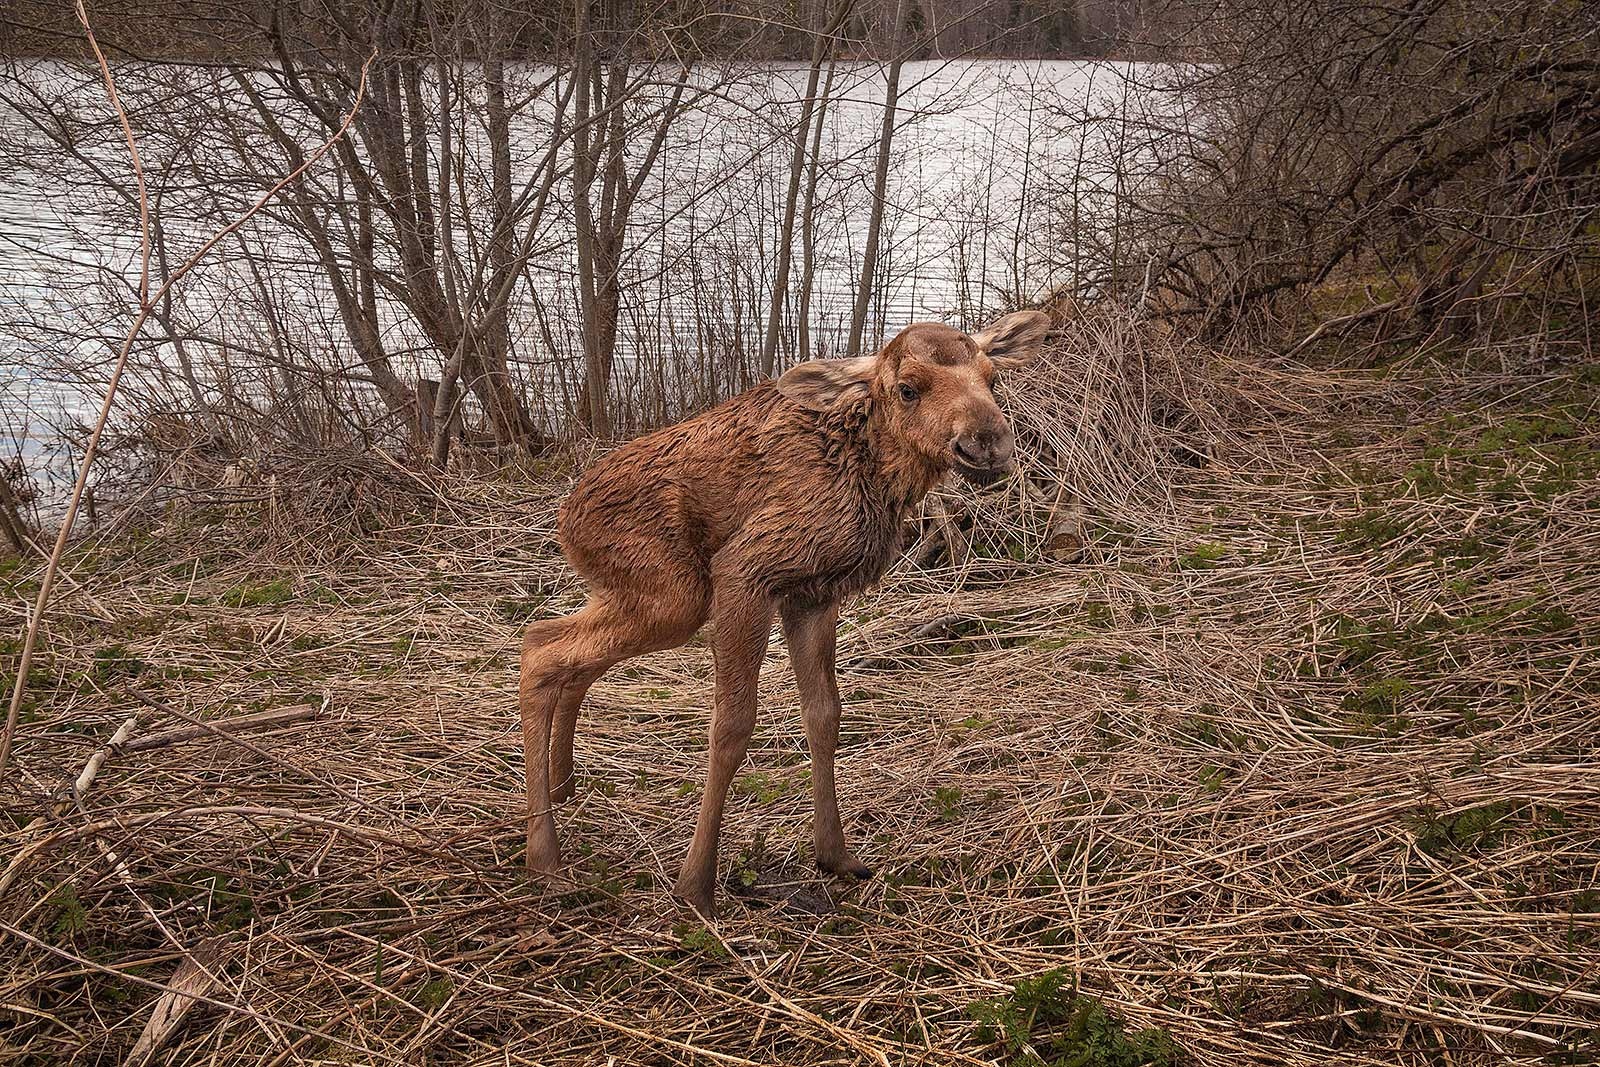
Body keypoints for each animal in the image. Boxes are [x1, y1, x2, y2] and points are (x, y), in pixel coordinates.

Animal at [518, 310, 1056, 921]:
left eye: (992, 378)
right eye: (907, 388)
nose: (986, 443)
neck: (869, 474)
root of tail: (565, 517)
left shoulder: (814, 595)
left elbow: (825, 716)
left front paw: (835, 854)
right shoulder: (746, 574)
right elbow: (731, 727)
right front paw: (696, 883)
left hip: (639, 595)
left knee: (555, 645)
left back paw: (560, 789)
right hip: (676, 595)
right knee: (542, 652)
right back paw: (544, 853)